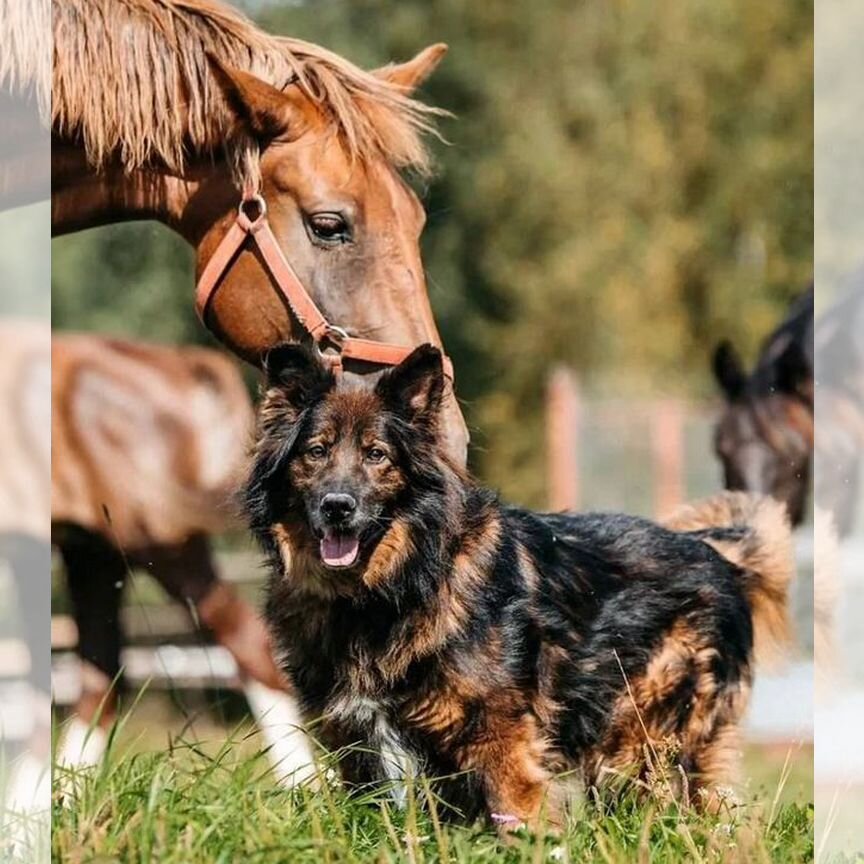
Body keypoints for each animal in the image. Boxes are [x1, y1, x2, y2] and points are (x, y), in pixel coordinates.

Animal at [246, 342, 792, 832]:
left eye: (376, 455)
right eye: (316, 452)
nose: (338, 507)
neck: (387, 590)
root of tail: (717, 555)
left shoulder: (499, 738)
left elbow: (520, 814)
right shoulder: (356, 743)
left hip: (644, 742)